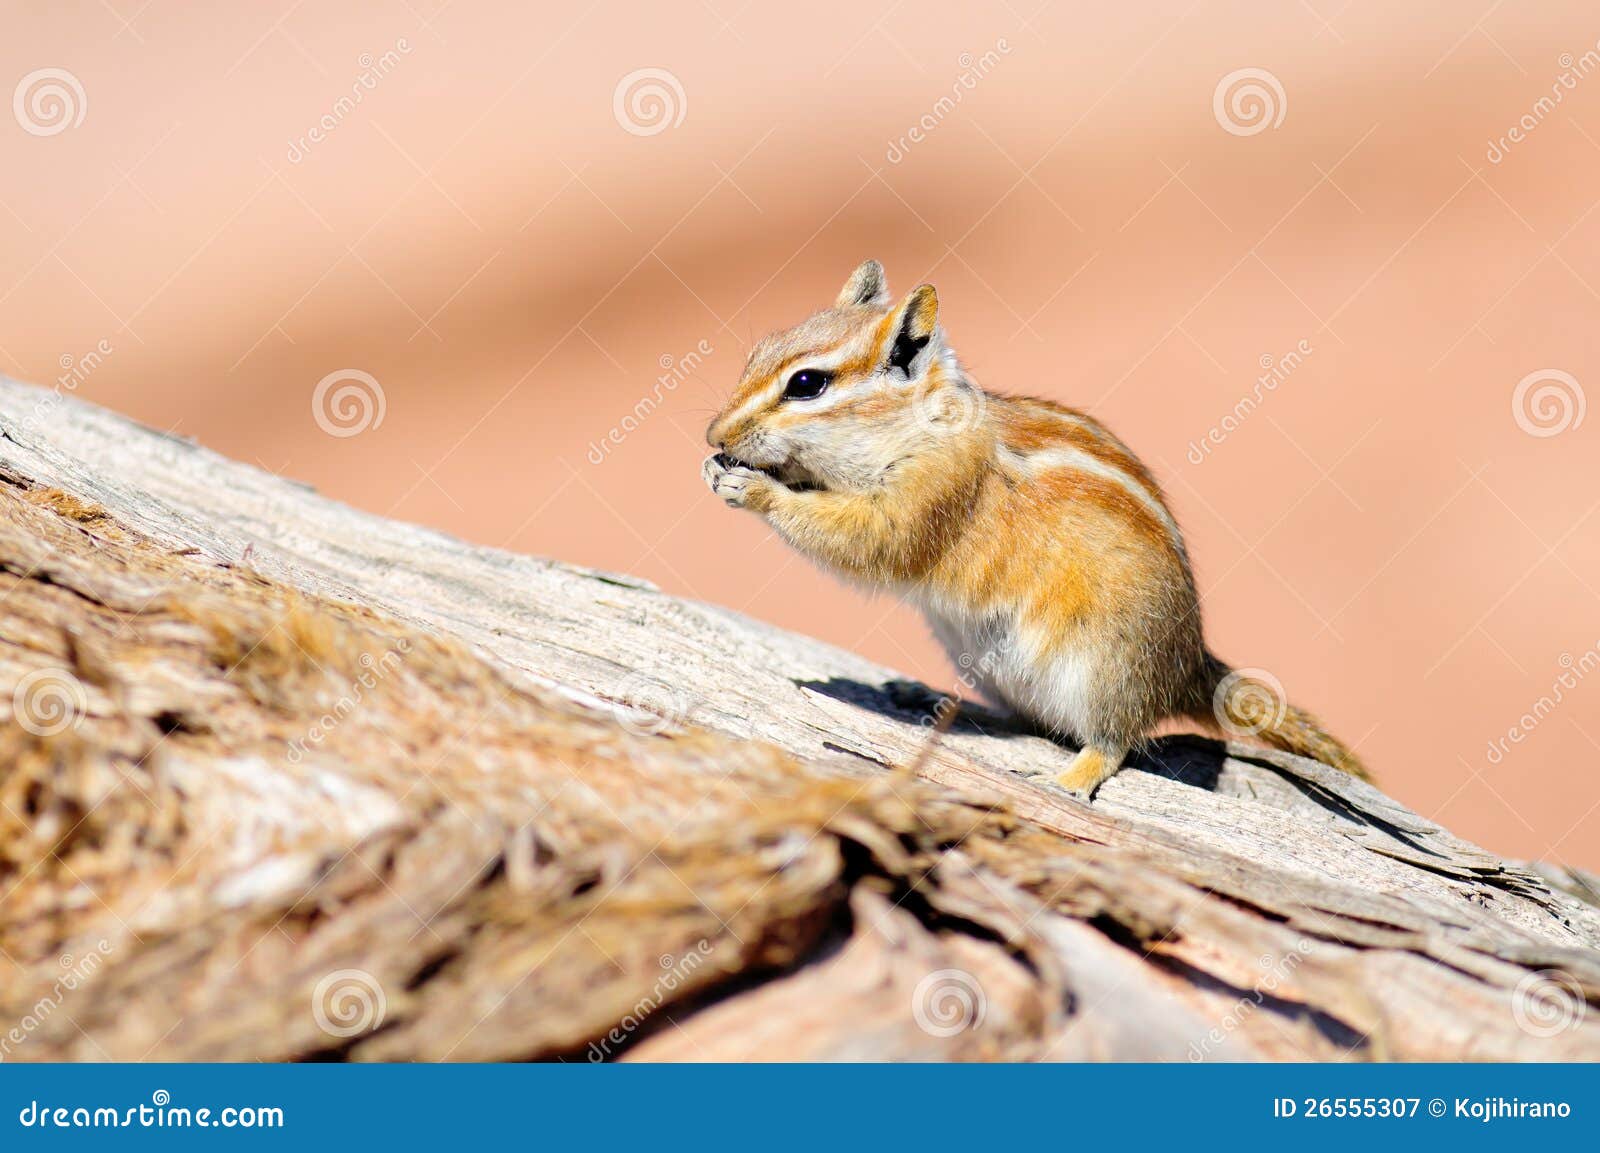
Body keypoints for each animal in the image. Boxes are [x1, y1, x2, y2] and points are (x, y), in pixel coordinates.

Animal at [701, 260, 1368, 799]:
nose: (715, 434)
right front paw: (719, 468)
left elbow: (867, 542)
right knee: (1025, 721)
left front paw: (752, 489)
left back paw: (1068, 778)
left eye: (807, 384)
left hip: (1104, 669)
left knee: (1113, 741)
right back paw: (933, 699)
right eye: (762, 349)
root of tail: (1185, 667)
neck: (920, 424)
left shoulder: (930, 494)